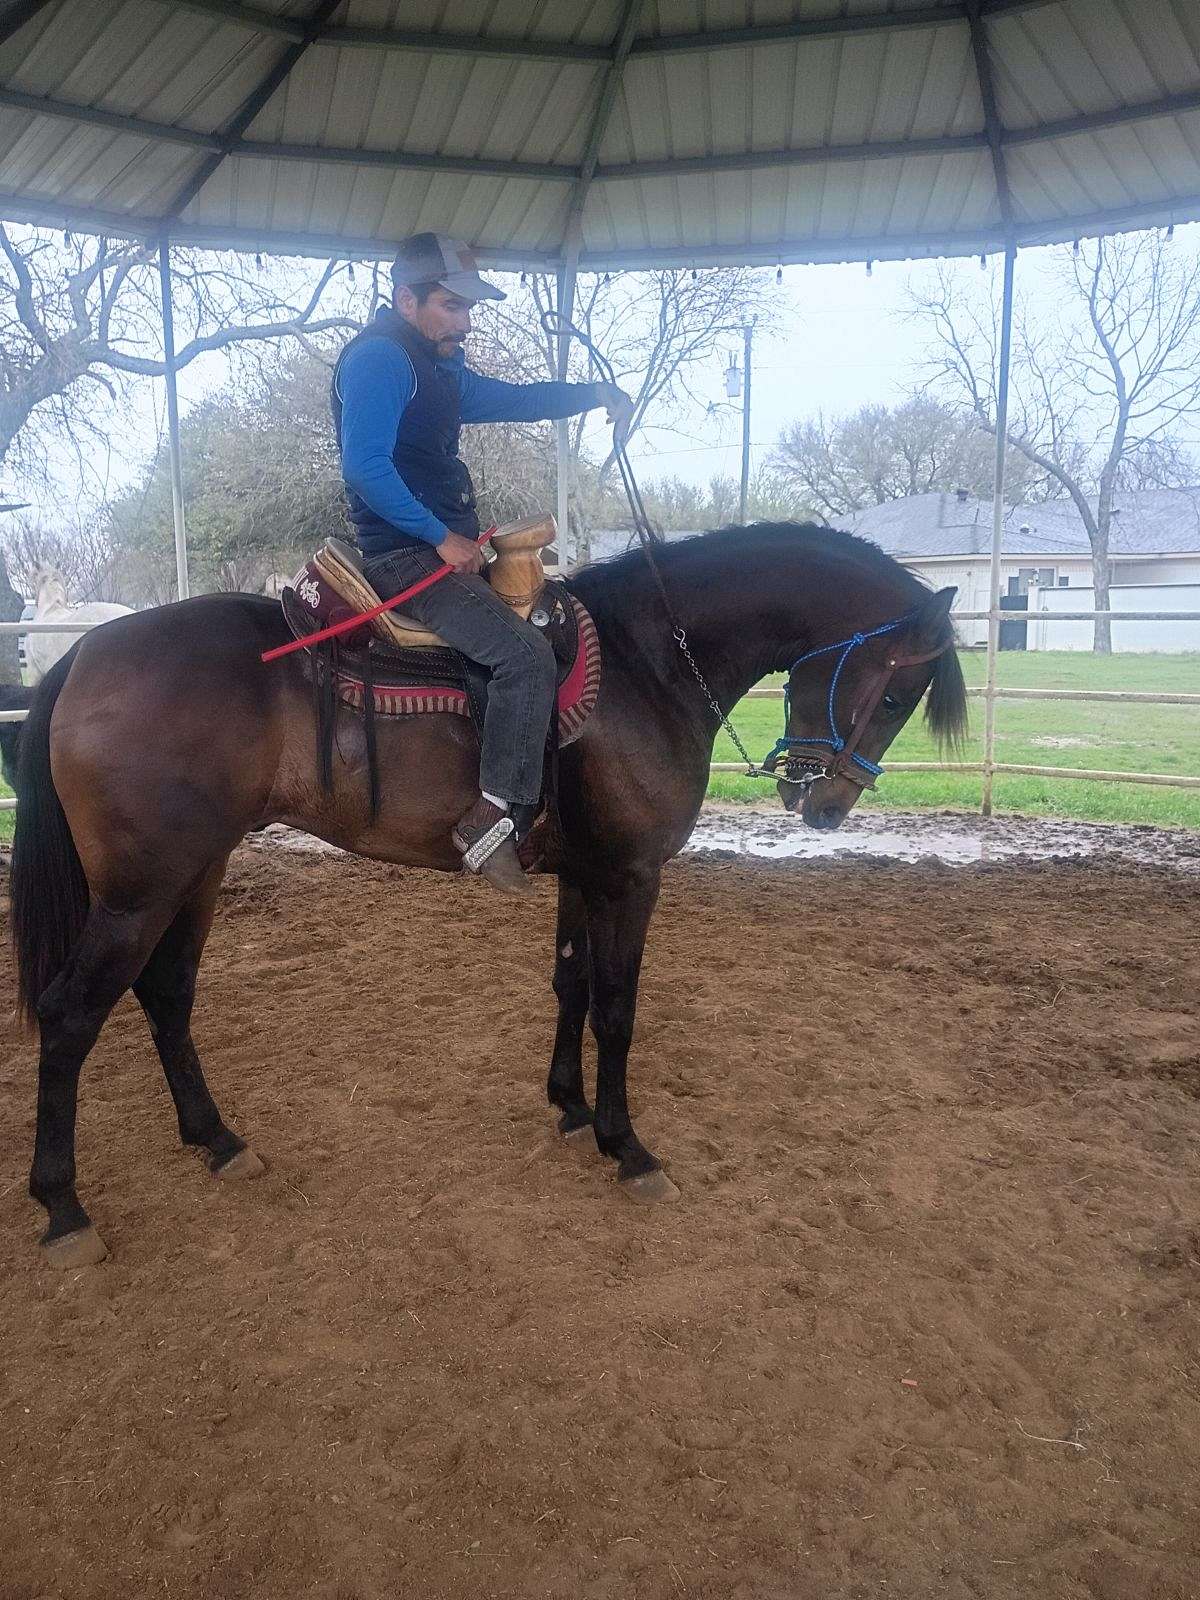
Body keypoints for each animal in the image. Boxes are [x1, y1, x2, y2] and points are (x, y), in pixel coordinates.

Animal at [11, 522, 967, 1266]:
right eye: (897, 695)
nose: (826, 806)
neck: (649, 661)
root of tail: (86, 653)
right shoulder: (630, 877)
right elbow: (617, 1008)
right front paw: (628, 1146)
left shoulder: (583, 875)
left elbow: (571, 984)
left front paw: (571, 1108)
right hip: (139, 894)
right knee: (70, 1015)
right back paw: (64, 1209)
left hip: (195, 874)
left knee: (168, 996)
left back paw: (216, 1141)